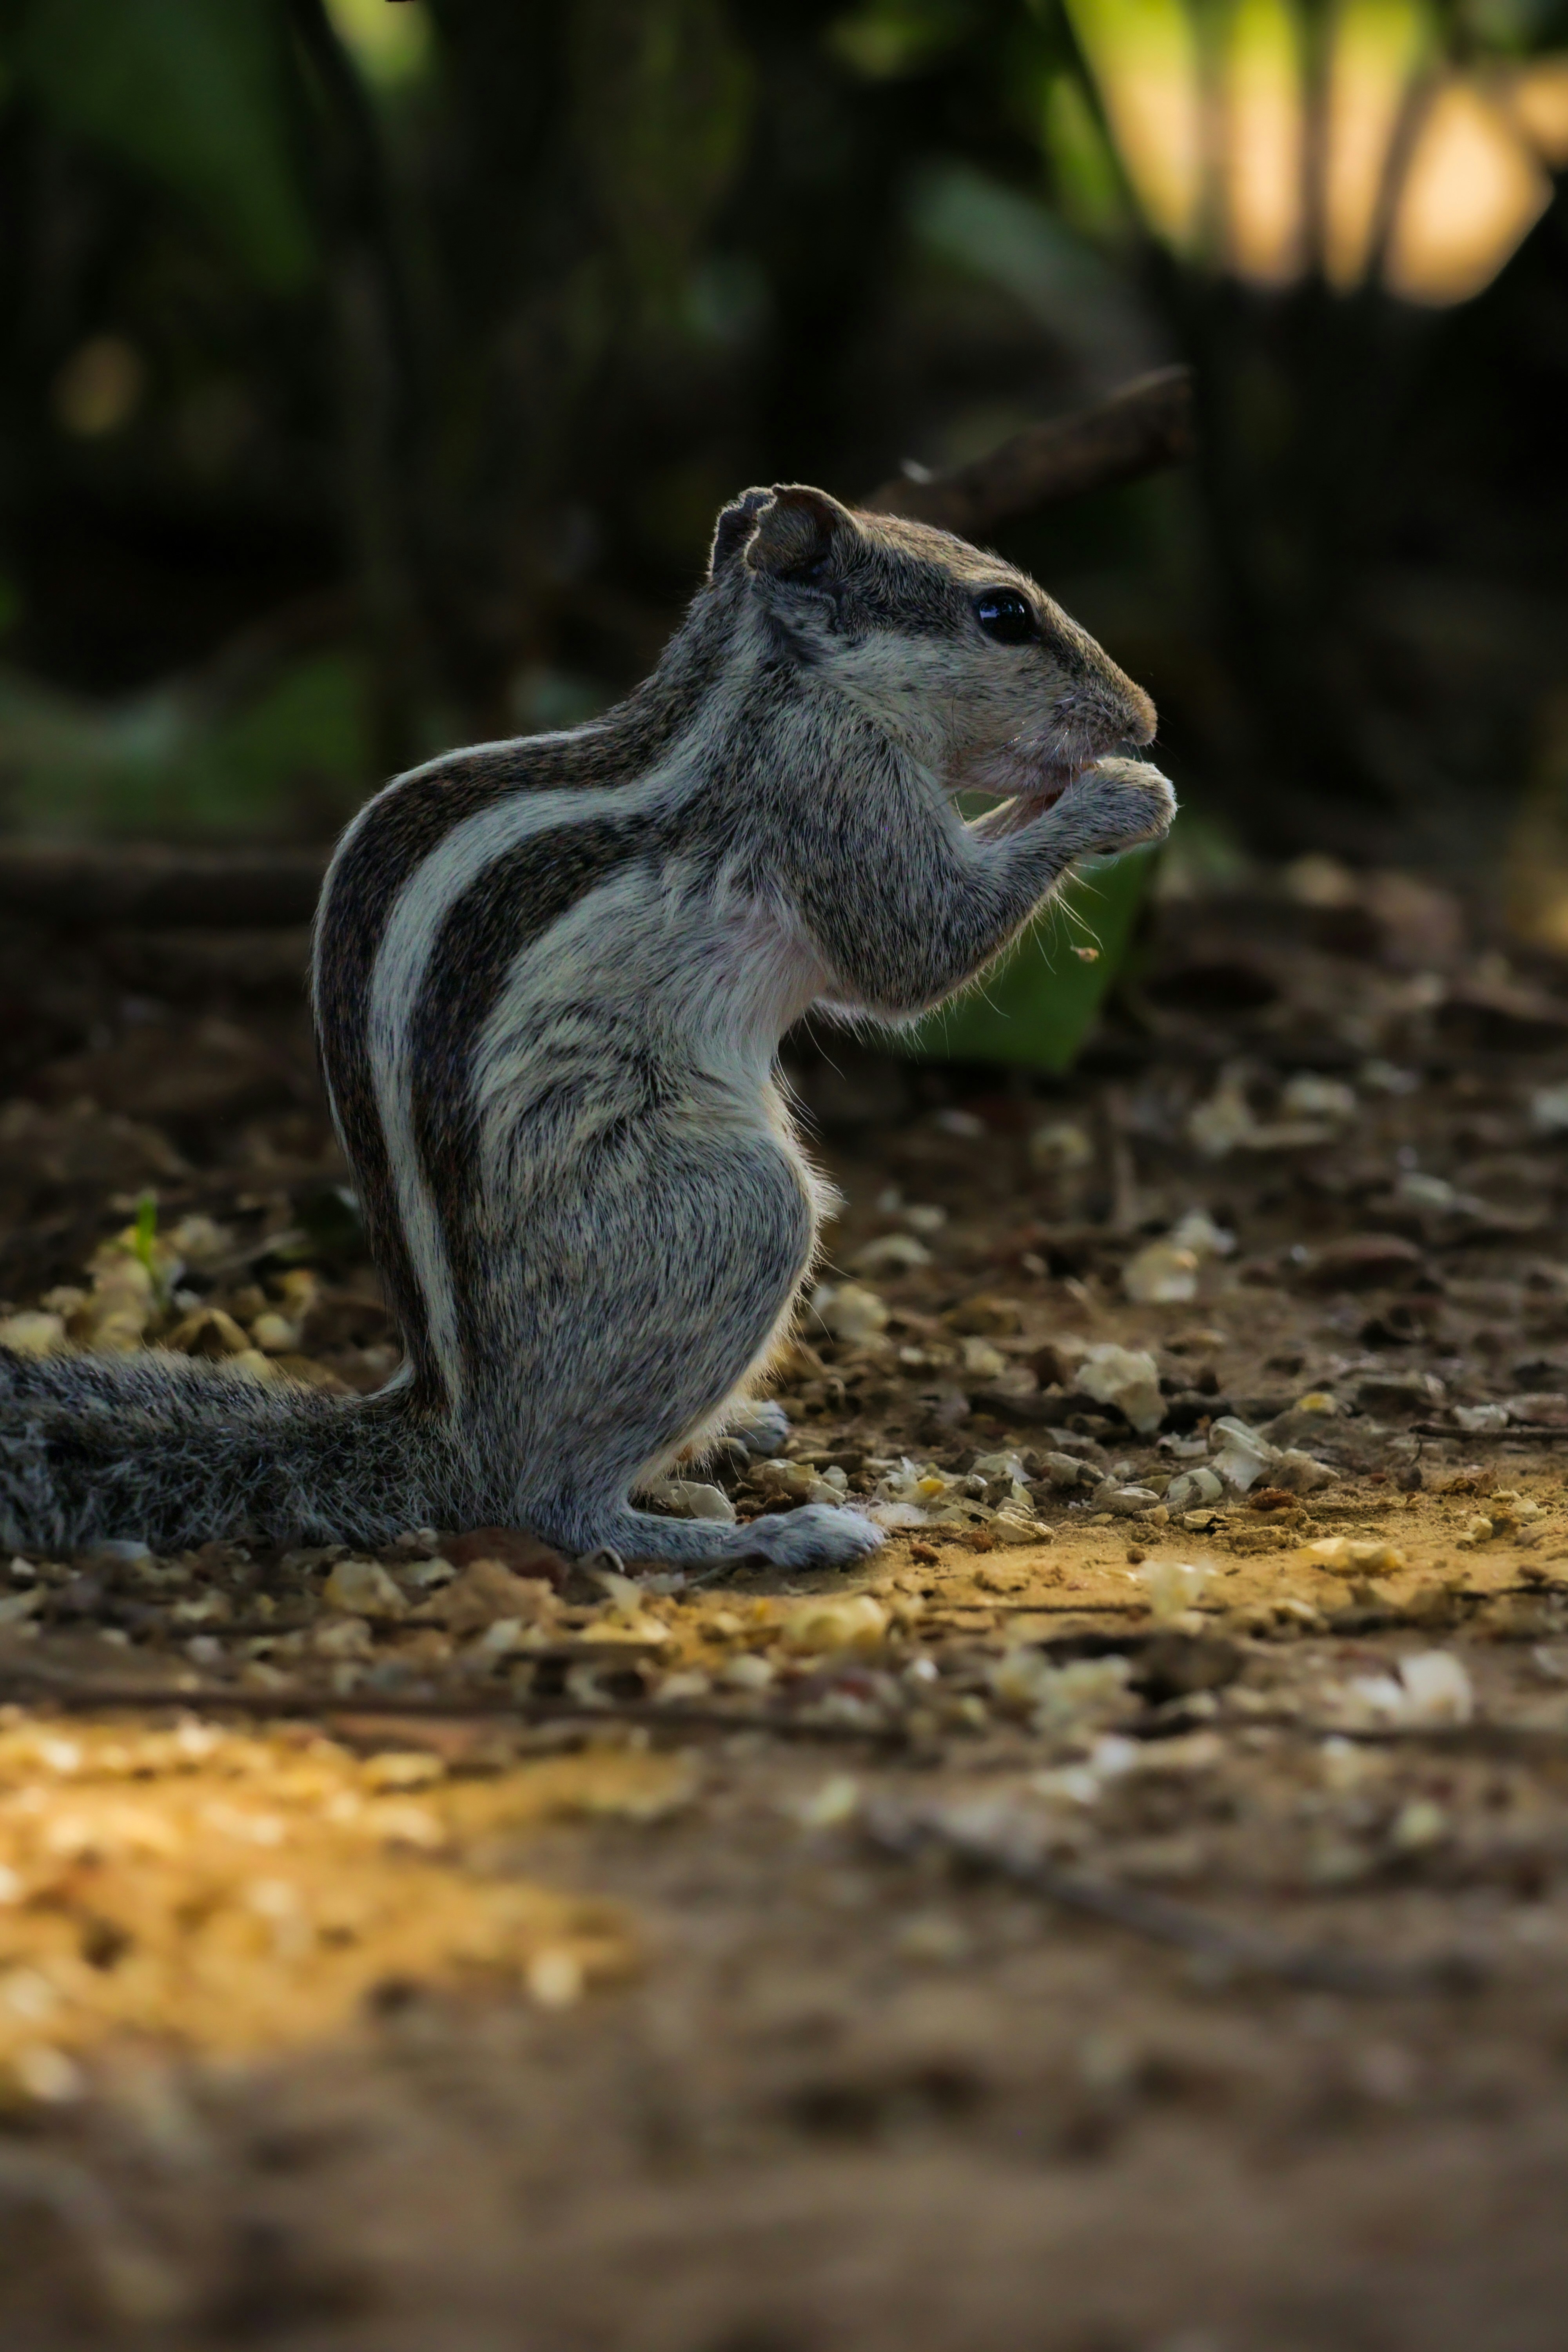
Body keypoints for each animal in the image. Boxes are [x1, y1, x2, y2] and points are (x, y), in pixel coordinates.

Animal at [0, 484, 1174, 1568]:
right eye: (1002, 614)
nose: (1145, 717)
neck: (773, 687)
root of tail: (461, 1432)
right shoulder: (833, 793)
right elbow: (914, 953)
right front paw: (1119, 797)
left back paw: (738, 1433)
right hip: (730, 1210)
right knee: (557, 1506)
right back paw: (762, 1535)